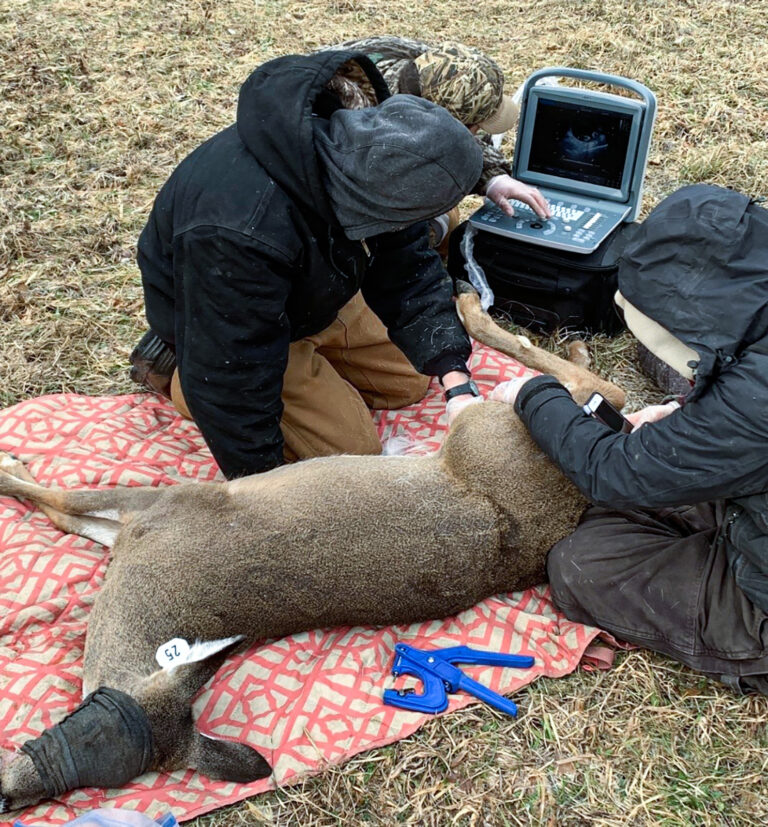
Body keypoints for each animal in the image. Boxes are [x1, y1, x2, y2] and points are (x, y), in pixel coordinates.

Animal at [0, 285, 625, 813]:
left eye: (85, 725)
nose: (12, 791)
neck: (140, 605)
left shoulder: (176, 504)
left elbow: (58, 496)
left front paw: (9, 465)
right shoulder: (132, 531)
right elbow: (66, 514)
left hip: (487, 428)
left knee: (581, 392)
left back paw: (476, 308)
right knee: (601, 393)